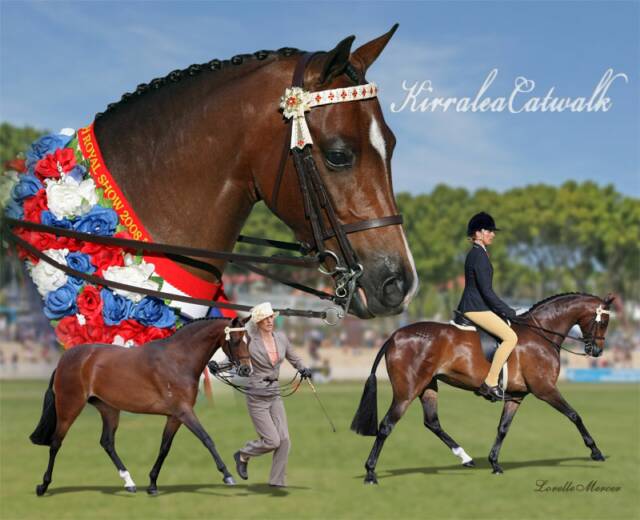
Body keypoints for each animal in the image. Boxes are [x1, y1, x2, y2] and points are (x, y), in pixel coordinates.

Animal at [29, 316, 252, 496]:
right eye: (236, 340)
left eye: (248, 340)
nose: (246, 370)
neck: (178, 360)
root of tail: (65, 359)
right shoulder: (184, 411)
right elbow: (207, 439)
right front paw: (228, 475)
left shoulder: (174, 416)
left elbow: (165, 447)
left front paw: (152, 485)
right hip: (69, 406)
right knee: (56, 443)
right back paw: (43, 486)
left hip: (109, 409)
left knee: (107, 442)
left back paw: (129, 483)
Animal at [350, 292, 615, 484]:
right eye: (603, 322)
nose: (596, 351)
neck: (541, 333)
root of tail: (394, 335)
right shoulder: (545, 389)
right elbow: (574, 415)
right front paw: (595, 451)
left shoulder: (516, 396)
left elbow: (503, 428)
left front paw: (495, 463)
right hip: (407, 392)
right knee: (386, 426)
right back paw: (371, 473)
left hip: (428, 386)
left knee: (432, 422)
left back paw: (465, 458)